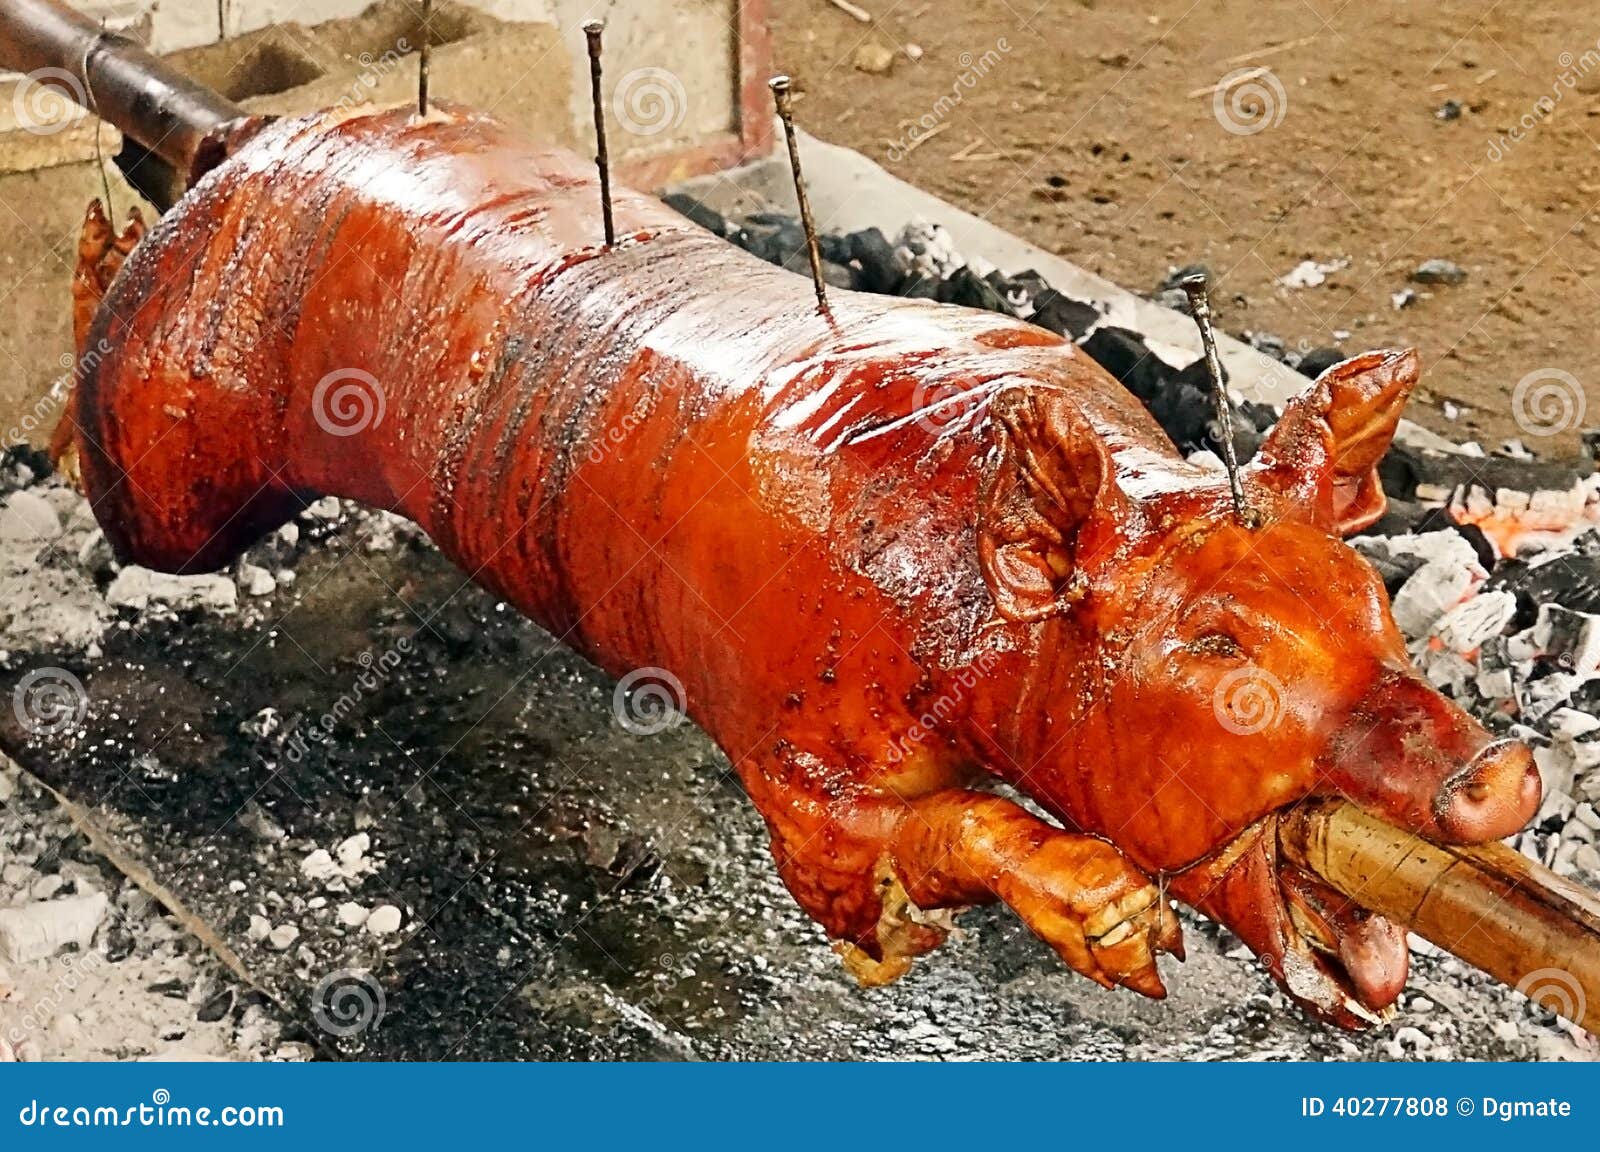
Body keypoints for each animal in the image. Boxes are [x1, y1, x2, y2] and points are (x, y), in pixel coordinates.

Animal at [56, 106, 1540, 1029]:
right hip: (177, 399)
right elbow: (883, 860)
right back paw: (85, 255)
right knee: (129, 472)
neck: (968, 585)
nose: (1499, 775)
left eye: (1369, 602)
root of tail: (246, 135)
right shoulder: (789, 739)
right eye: (1220, 644)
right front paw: (1105, 916)